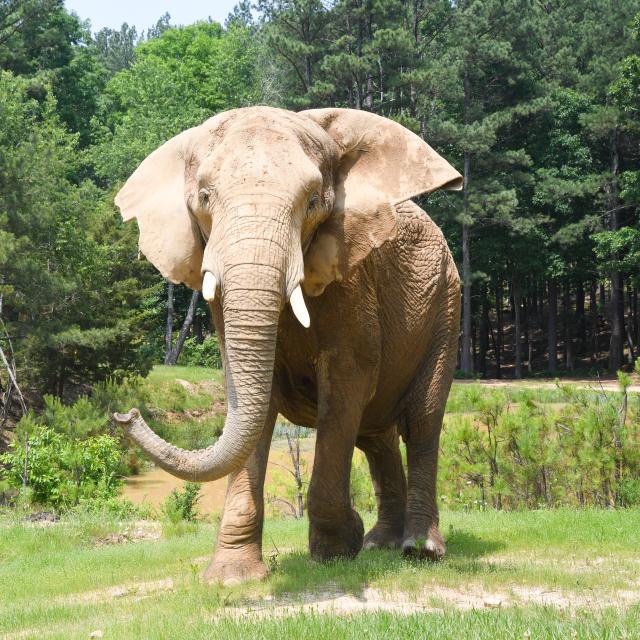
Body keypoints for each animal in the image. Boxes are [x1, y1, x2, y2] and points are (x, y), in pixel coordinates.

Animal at [113, 106, 462, 585]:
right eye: (204, 197)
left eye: (313, 201)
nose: (125, 414)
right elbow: (249, 400)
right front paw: (232, 577)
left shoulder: (350, 273)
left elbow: (346, 383)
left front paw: (336, 552)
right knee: (375, 435)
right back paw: (381, 545)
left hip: (446, 301)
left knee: (421, 420)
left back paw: (419, 550)